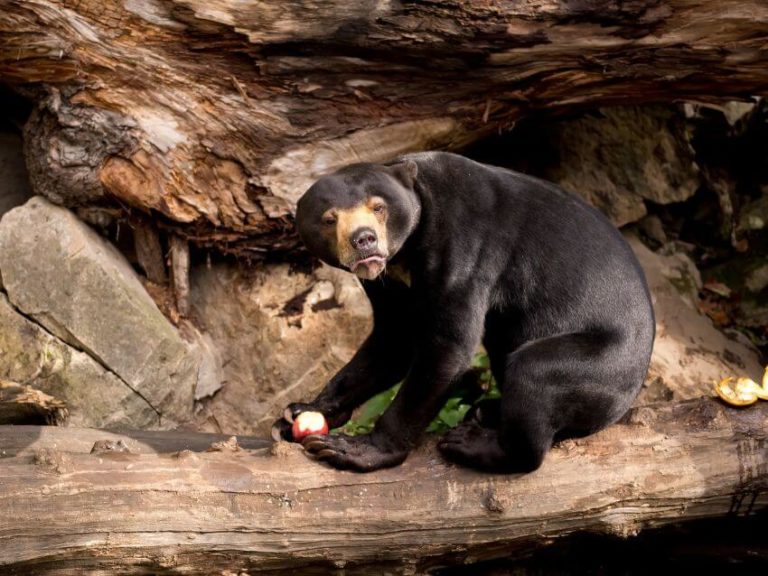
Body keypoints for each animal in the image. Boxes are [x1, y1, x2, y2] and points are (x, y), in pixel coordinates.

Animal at [271, 151, 655, 473]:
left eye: (378, 207)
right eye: (329, 218)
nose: (364, 240)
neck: (405, 255)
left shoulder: (463, 249)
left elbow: (447, 346)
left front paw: (354, 449)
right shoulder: (386, 282)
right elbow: (392, 341)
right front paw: (302, 411)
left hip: (604, 362)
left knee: (536, 373)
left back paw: (471, 443)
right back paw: (488, 410)